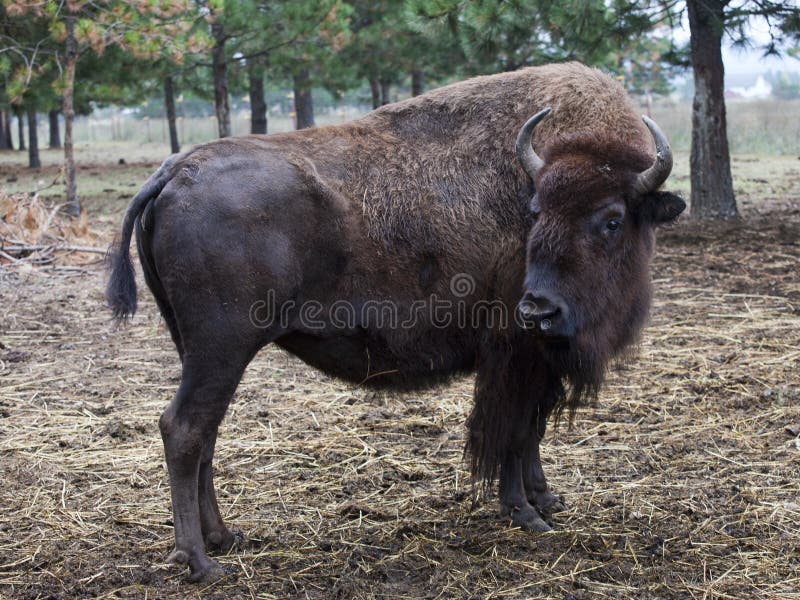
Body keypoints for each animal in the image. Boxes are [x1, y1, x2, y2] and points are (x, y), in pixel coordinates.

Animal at [107, 61, 685, 581]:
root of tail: (174, 171)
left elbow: (533, 431)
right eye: (536, 211)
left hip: (199, 350)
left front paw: (547, 499)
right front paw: (524, 512)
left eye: (612, 219)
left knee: (205, 431)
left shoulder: (540, 363)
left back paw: (224, 539)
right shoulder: (516, 356)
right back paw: (200, 562)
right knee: (184, 429)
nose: (539, 308)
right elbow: (514, 432)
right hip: (222, 347)